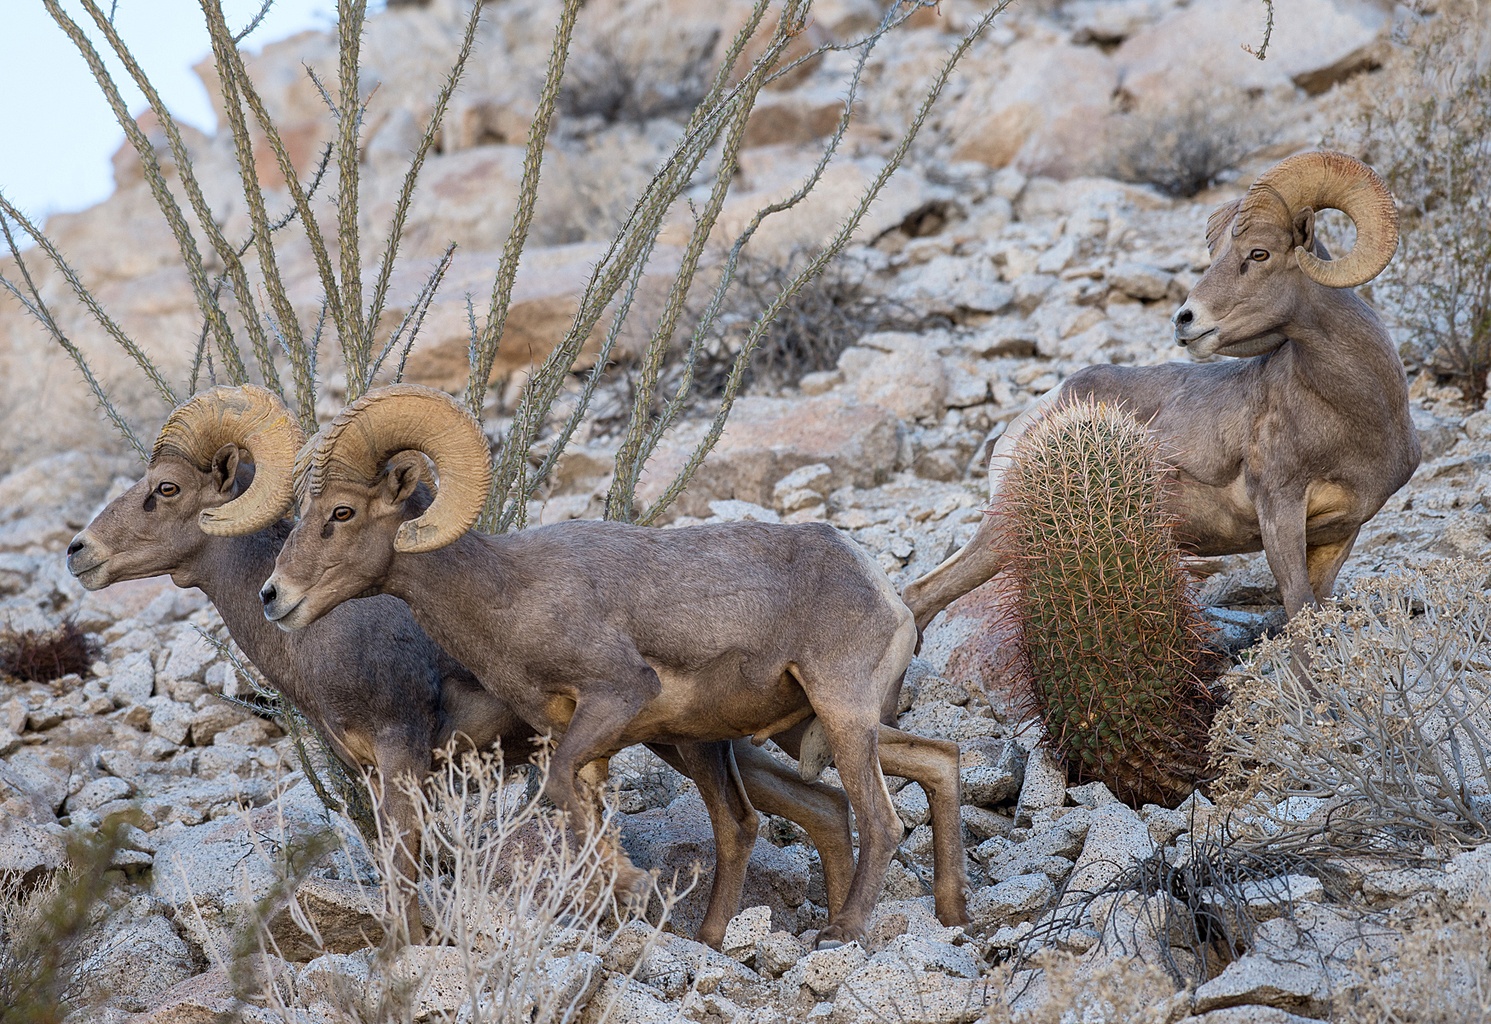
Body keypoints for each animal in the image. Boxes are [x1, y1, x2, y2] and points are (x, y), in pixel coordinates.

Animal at [66, 385, 862, 948]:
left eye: (165, 490)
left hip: (693, 741)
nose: (79, 553)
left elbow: (405, 869)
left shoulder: (401, 756)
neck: (326, 638)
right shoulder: (372, 770)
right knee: (820, 807)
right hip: (694, 742)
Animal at [257, 383, 971, 949]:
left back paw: (842, 931)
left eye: (342, 512)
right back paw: (948, 916)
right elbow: (584, 814)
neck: (507, 595)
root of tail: (883, 590)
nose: (274, 597)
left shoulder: (612, 699)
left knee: (880, 818)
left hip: (840, 715)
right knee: (930, 763)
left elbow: (559, 787)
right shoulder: (585, 740)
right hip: (791, 732)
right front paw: (626, 898)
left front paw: (635, 884)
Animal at [903, 151, 1420, 631]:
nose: (1185, 320)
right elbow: (1297, 616)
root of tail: (1043, 410)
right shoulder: (1280, 513)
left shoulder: (1338, 536)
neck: (1356, 412)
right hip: (1007, 528)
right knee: (922, 594)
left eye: (1259, 254)